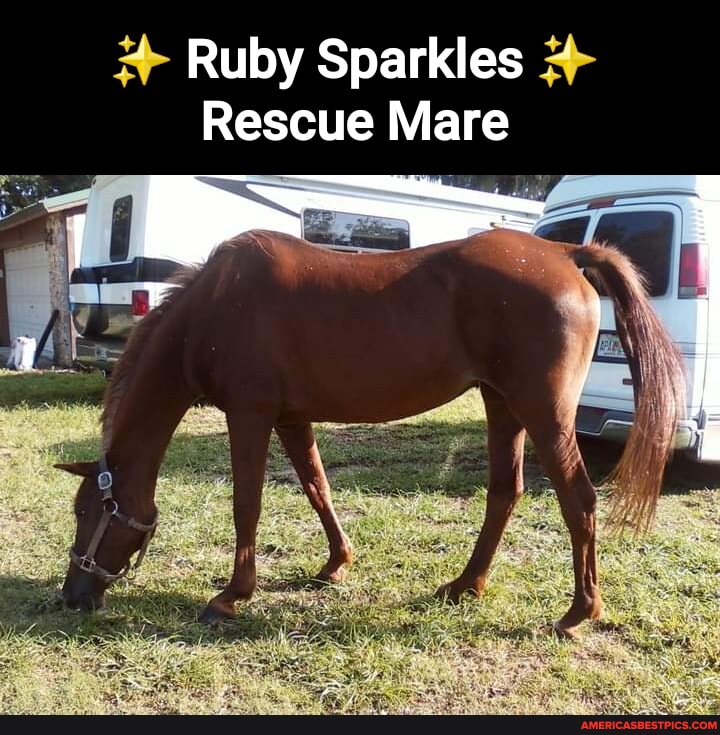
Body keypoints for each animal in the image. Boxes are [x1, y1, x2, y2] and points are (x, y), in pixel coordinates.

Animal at [55, 228, 686, 639]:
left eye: (88, 511)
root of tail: (563, 253)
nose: (72, 596)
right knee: (506, 493)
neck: (211, 306)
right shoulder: (290, 418)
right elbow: (317, 488)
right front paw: (336, 564)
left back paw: (579, 612)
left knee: (578, 500)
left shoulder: (250, 414)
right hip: (502, 403)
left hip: (543, 413)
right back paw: (466, 585)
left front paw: (232, 596)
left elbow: (247, 504)